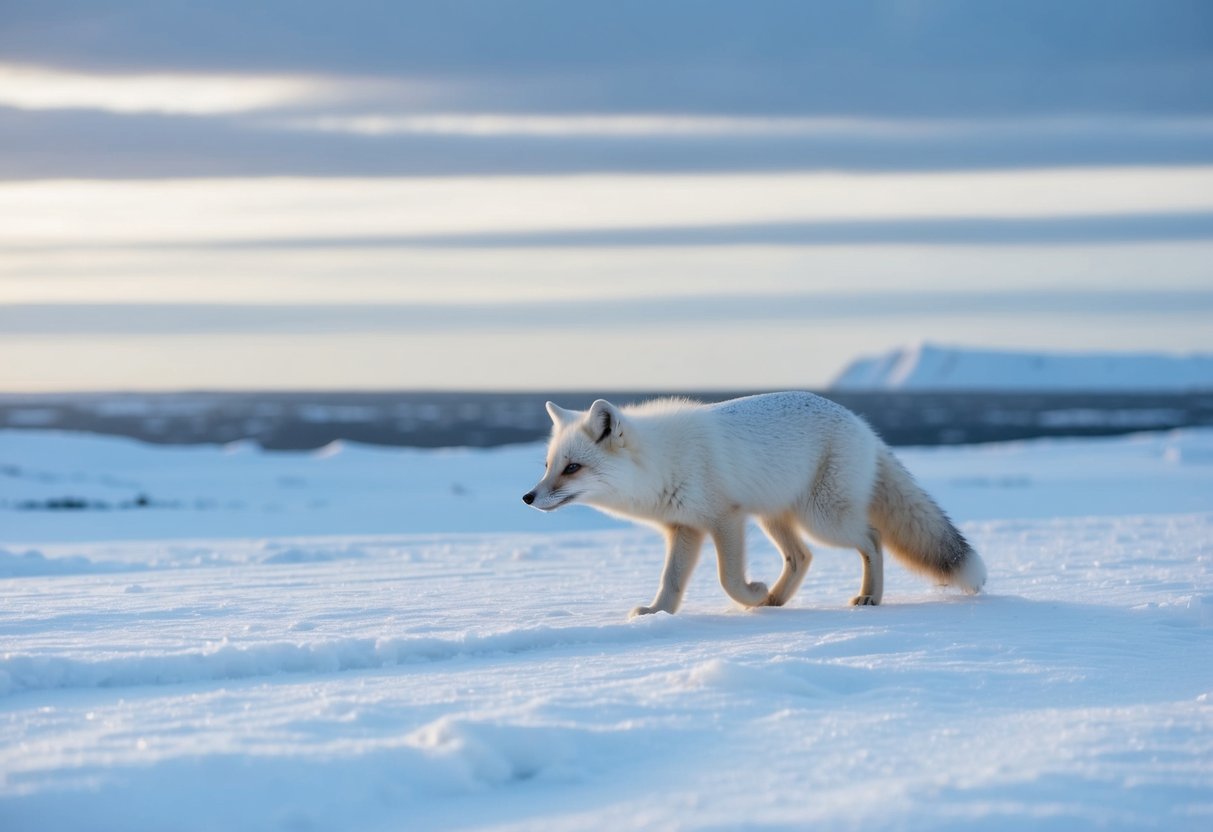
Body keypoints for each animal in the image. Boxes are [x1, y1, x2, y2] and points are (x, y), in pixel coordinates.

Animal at [522, 392, 985, 616]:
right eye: (547, 465)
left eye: (572, 468)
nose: (528, 497)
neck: (662, 462)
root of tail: (864, 425)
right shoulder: (685, 528)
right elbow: (671, 581)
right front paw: (658, 613)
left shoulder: (725, 518)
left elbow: (728, 578)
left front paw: (749, 593)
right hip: (776, 518)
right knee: (802, 557)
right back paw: (774, 602)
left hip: (822, 518)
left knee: (872, 540)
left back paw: (869, 597)